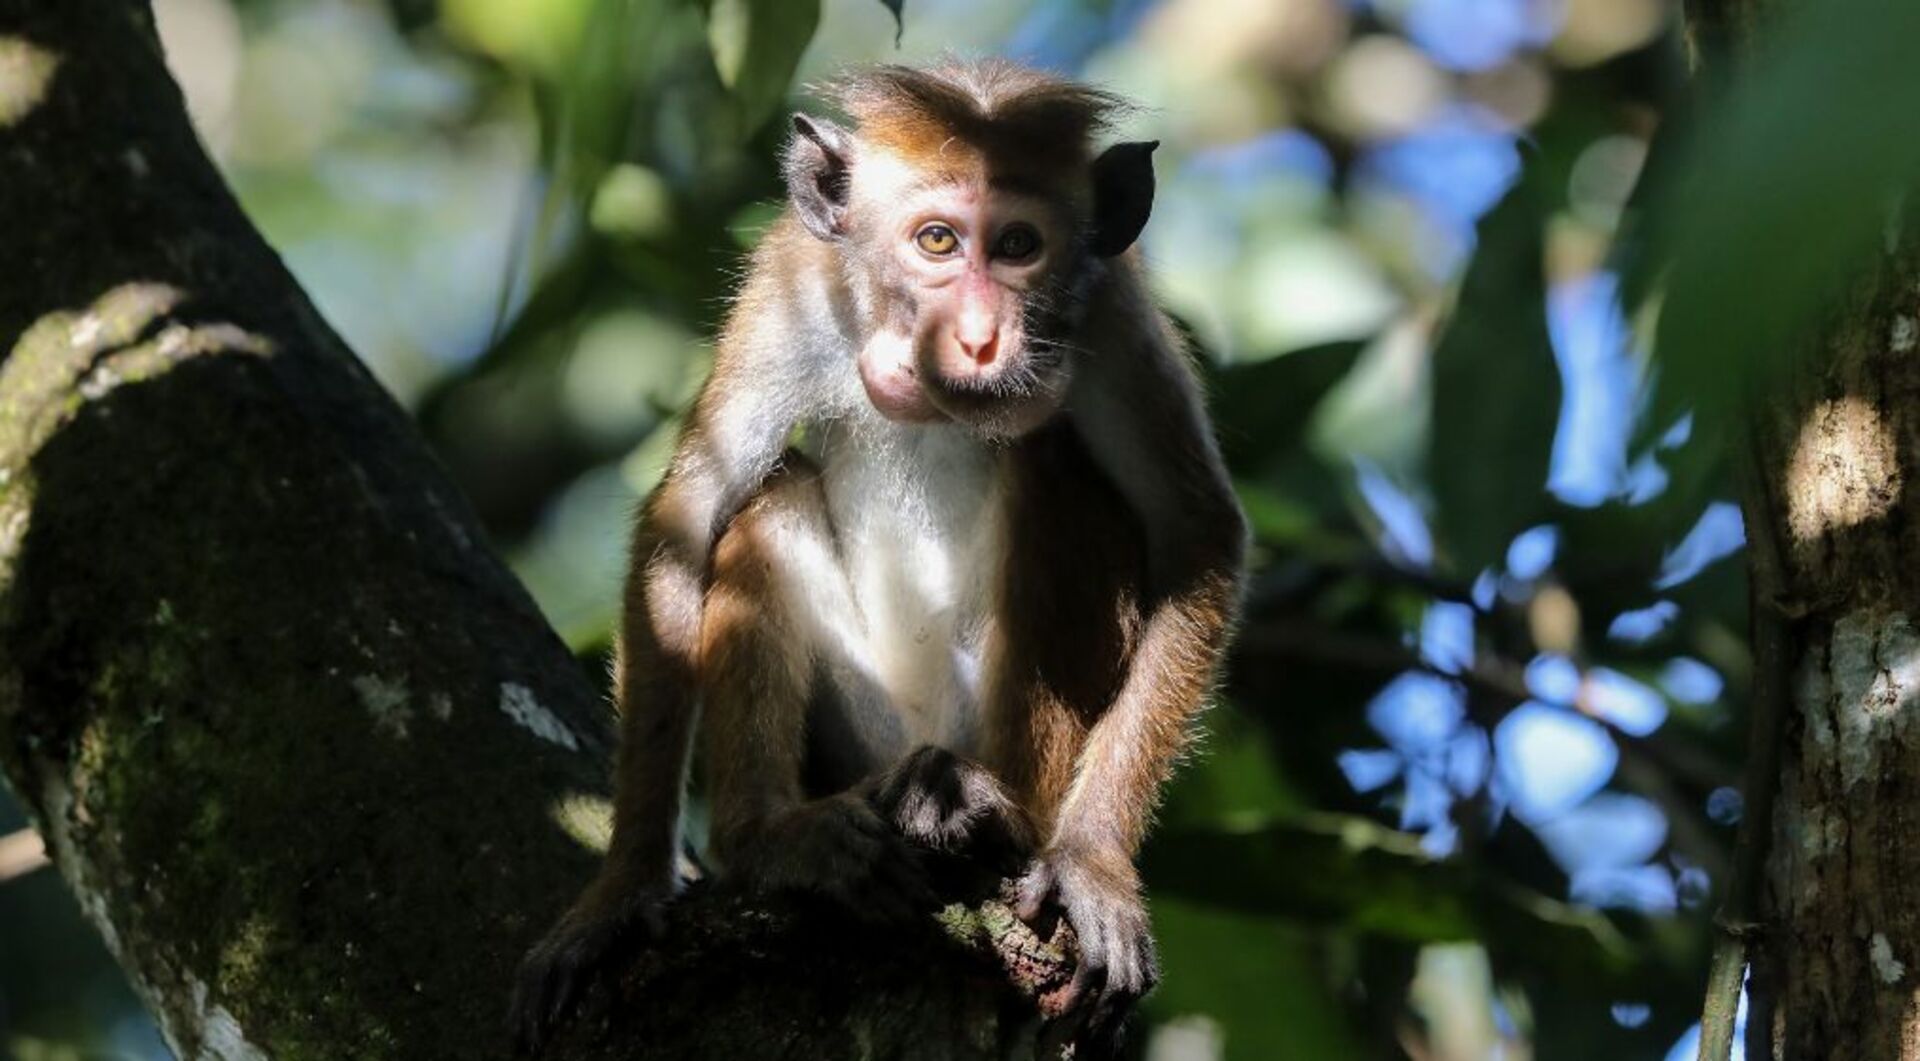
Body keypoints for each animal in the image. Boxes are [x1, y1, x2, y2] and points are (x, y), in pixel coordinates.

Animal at [512, 60, 1248, 1055]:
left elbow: (1195, 534)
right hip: (864, 731)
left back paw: (984, 806)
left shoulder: (1115, 312)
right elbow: (691, 516)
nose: (979, 336)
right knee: (770, 496)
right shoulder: (792, 280)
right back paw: (796, 832)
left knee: (1057, 470)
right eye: (936, 240)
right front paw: (622, 893)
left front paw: (1092, 863)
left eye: (1018, 246)